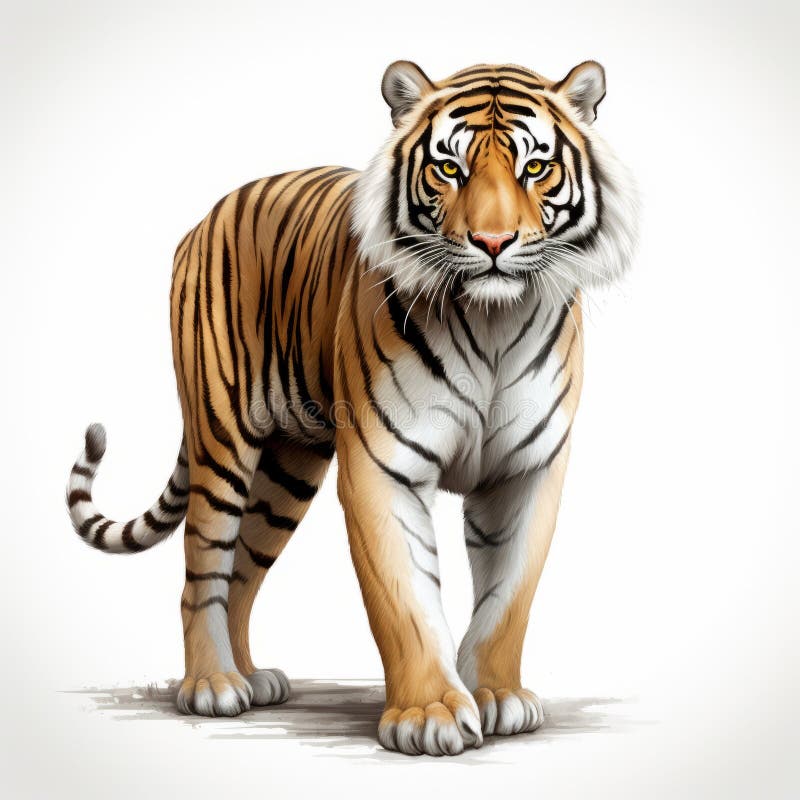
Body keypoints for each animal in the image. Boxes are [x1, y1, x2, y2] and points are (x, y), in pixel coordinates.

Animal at [66, 60, 637, 756]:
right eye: (449, 169)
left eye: (534, 168)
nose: (493, 241)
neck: (492, 322)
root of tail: (209, 213)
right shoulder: (382, 466)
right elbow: (405, 600)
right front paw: (429, 715)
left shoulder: (527, 471)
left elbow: (509, 597)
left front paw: (497, 695)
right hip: (222, 438)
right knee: (204, 567)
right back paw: (213, 685)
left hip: (287, 470)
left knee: (242, 573)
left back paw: (252, 676)